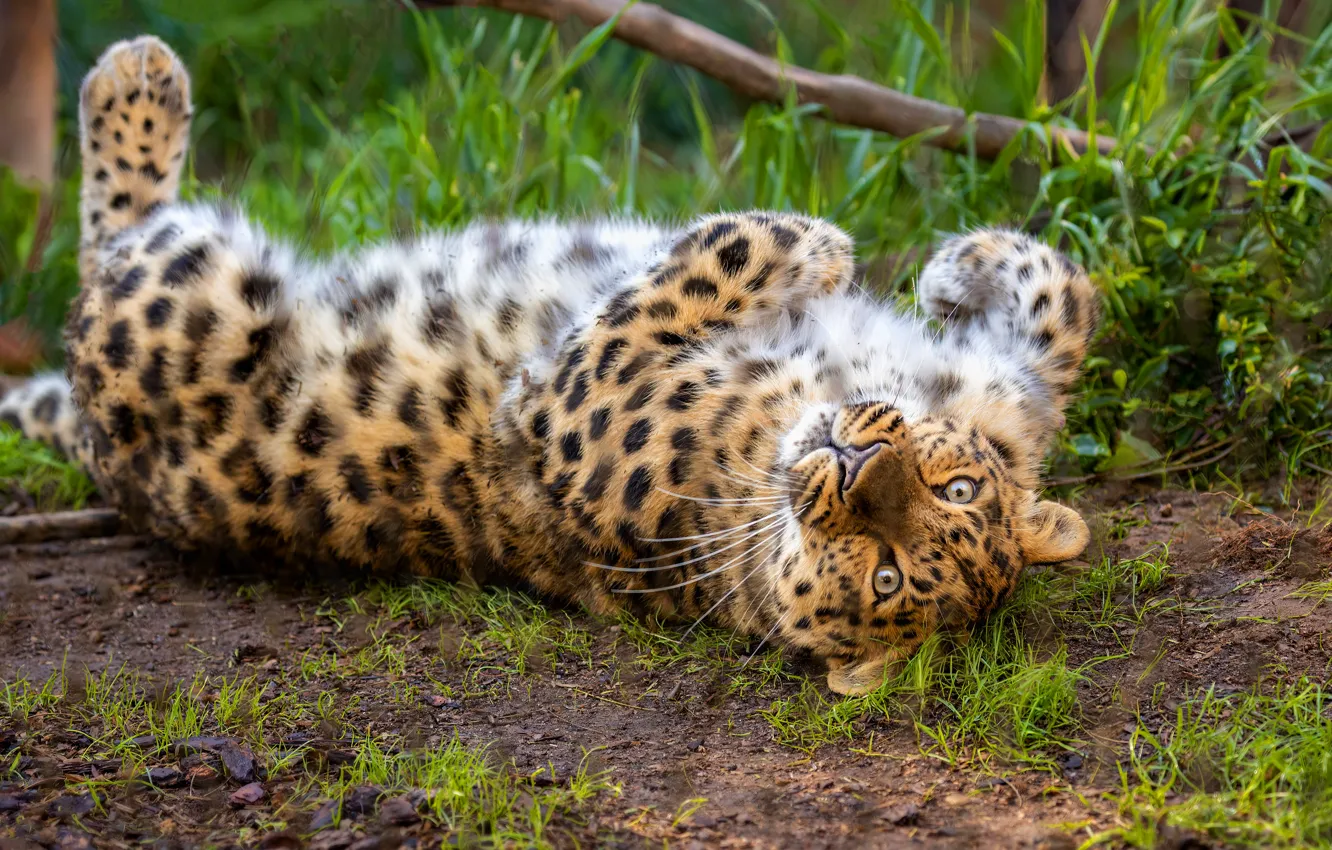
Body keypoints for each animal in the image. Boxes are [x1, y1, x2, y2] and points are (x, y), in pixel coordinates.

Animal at [0, 35, 1100, 694]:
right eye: (952, 485)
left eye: (886, 575)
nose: (855, 462)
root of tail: (113, 465)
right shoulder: (1010, 398)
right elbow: (1070, 297)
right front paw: (954, 266)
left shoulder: (567, 394)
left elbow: (683, 276)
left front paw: (818, 243)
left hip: (200, 294)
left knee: (107, 253)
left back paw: (135, 80)